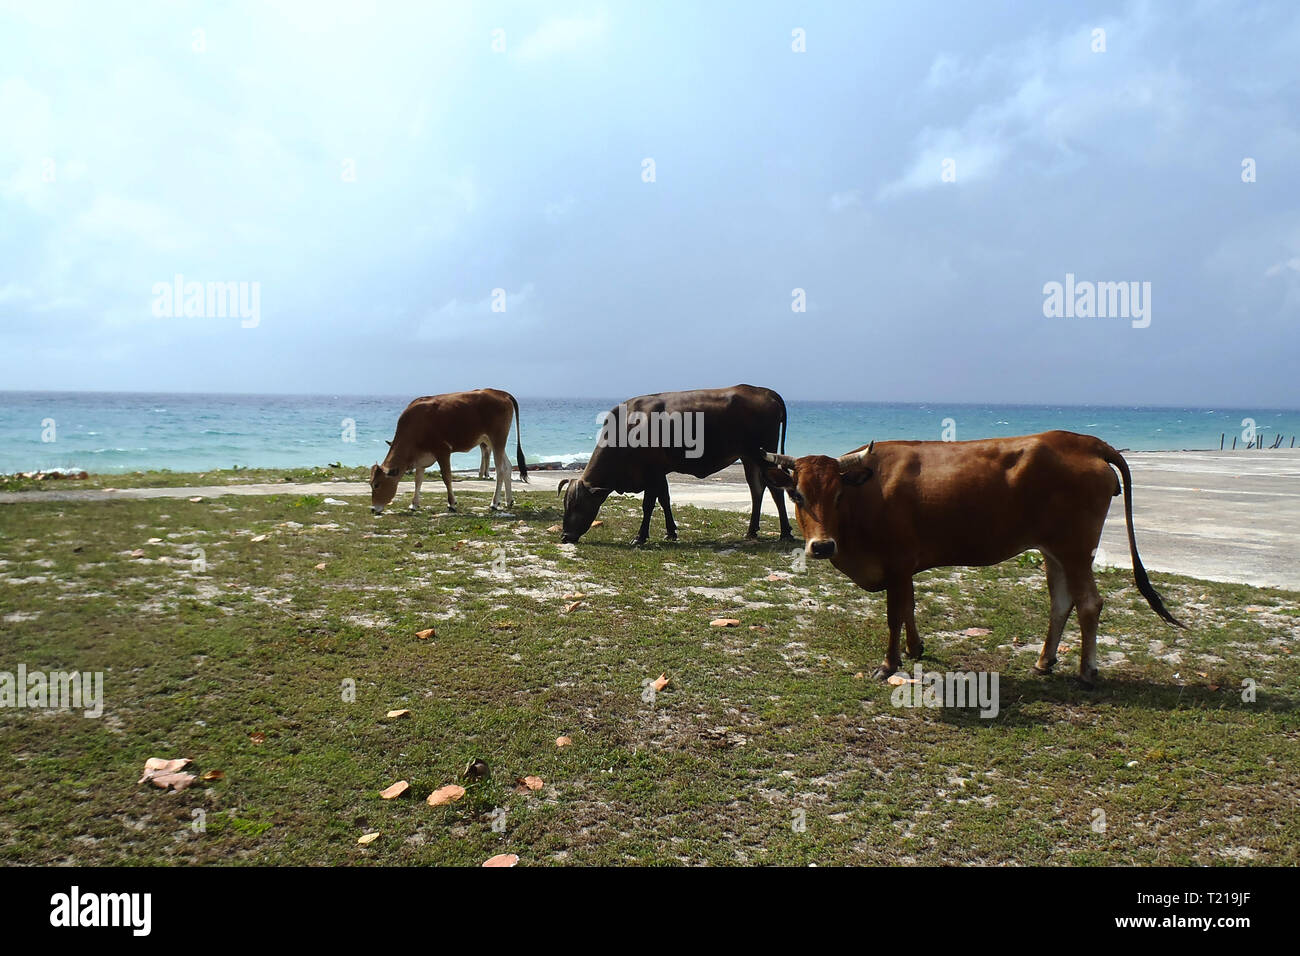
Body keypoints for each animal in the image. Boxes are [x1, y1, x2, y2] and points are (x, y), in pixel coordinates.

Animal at [369, 388, 528, 515]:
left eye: (377, 484)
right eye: (370, 484)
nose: (372, 508)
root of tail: (501, 393)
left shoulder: (443, 451)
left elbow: (446, 477)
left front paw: (451, 503)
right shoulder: (421, 458)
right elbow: (418, 480)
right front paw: (414, 504)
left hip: (498, 438)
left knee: (500, 470)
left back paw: (494, 503)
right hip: (490, 441)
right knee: (507, 466)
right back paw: (508, 500)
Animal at [558, 384, 794, 545]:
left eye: (577, 505)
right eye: (566, 505)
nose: (565, 536)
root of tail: (765, 391)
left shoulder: (651, 473)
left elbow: (648, 505)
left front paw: (640, 537)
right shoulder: (659, 473)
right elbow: (665, 500)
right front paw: (670, 532)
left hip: (763, 455)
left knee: (775, 490)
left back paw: (785, 532)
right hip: (748, 458)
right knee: (757, 489)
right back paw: (752, 531)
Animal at [761, 431, 1182, 685]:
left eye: (837, 495)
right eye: (797, 495)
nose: (822, 546)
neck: (868, 495)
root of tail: (1082, 441)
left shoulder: (897, 563)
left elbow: (895, 614)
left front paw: (889, 663)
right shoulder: (905, 568)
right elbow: (909, 607)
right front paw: (916, 649)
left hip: (1076, 549)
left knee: (1090, 603)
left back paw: (1087, 672)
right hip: (1053, 551)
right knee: (1062, 602)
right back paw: (1044, 661)